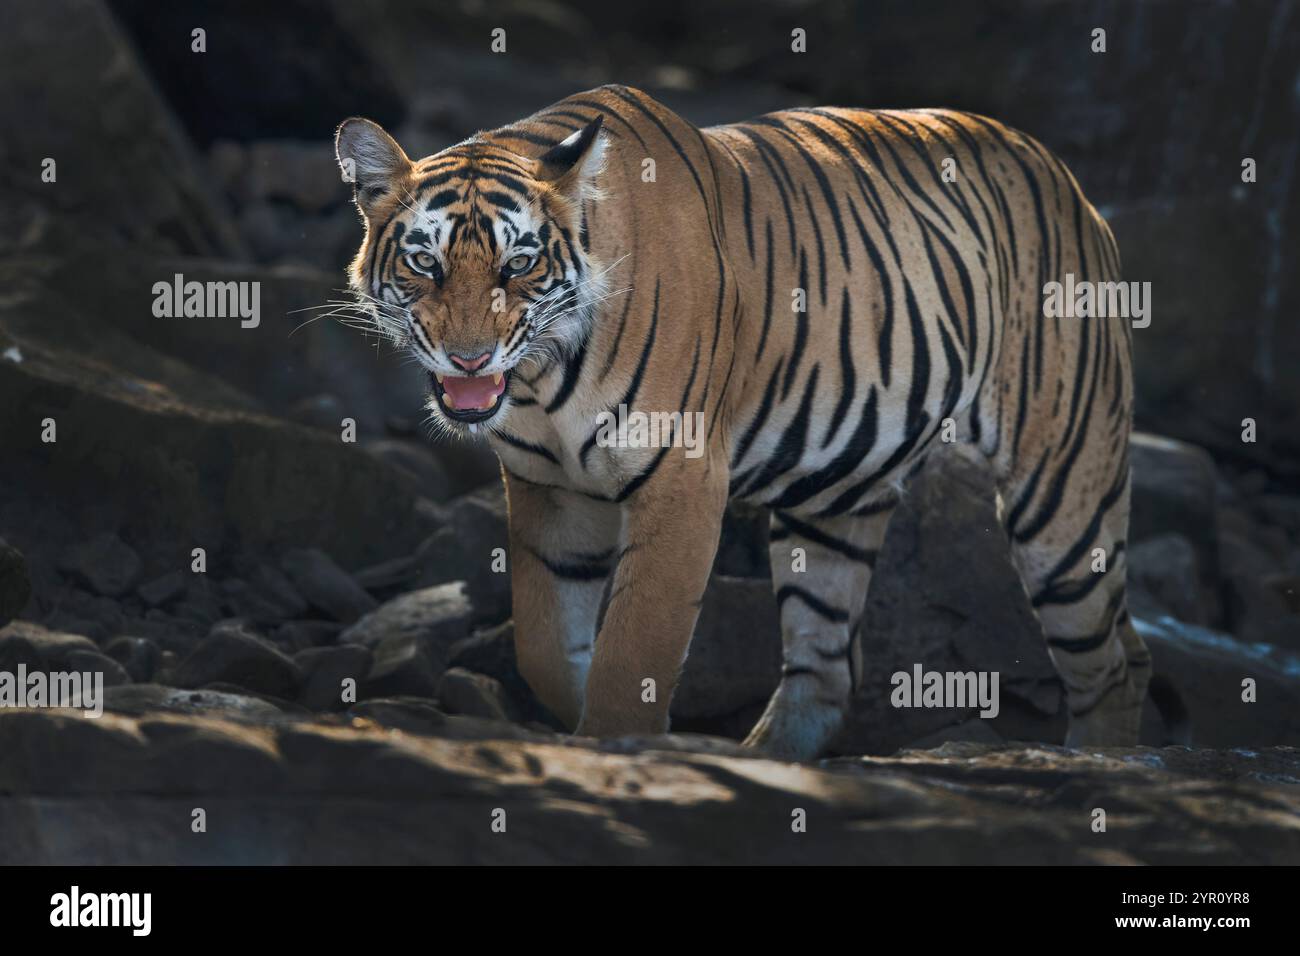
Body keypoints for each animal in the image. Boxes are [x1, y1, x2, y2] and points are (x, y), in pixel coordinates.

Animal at [335, 83, 1150, 761]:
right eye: (426, 264)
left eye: (519, 266)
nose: (469, 358)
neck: (540, 380)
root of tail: (1064, 175)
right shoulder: (548, 490)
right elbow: (545, 648)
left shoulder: (682, 480)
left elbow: (633, 651)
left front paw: (617, 744)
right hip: (835, 505)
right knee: (827, 668)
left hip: (1064, 492)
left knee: (1114, 663)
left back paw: (1106, 763)